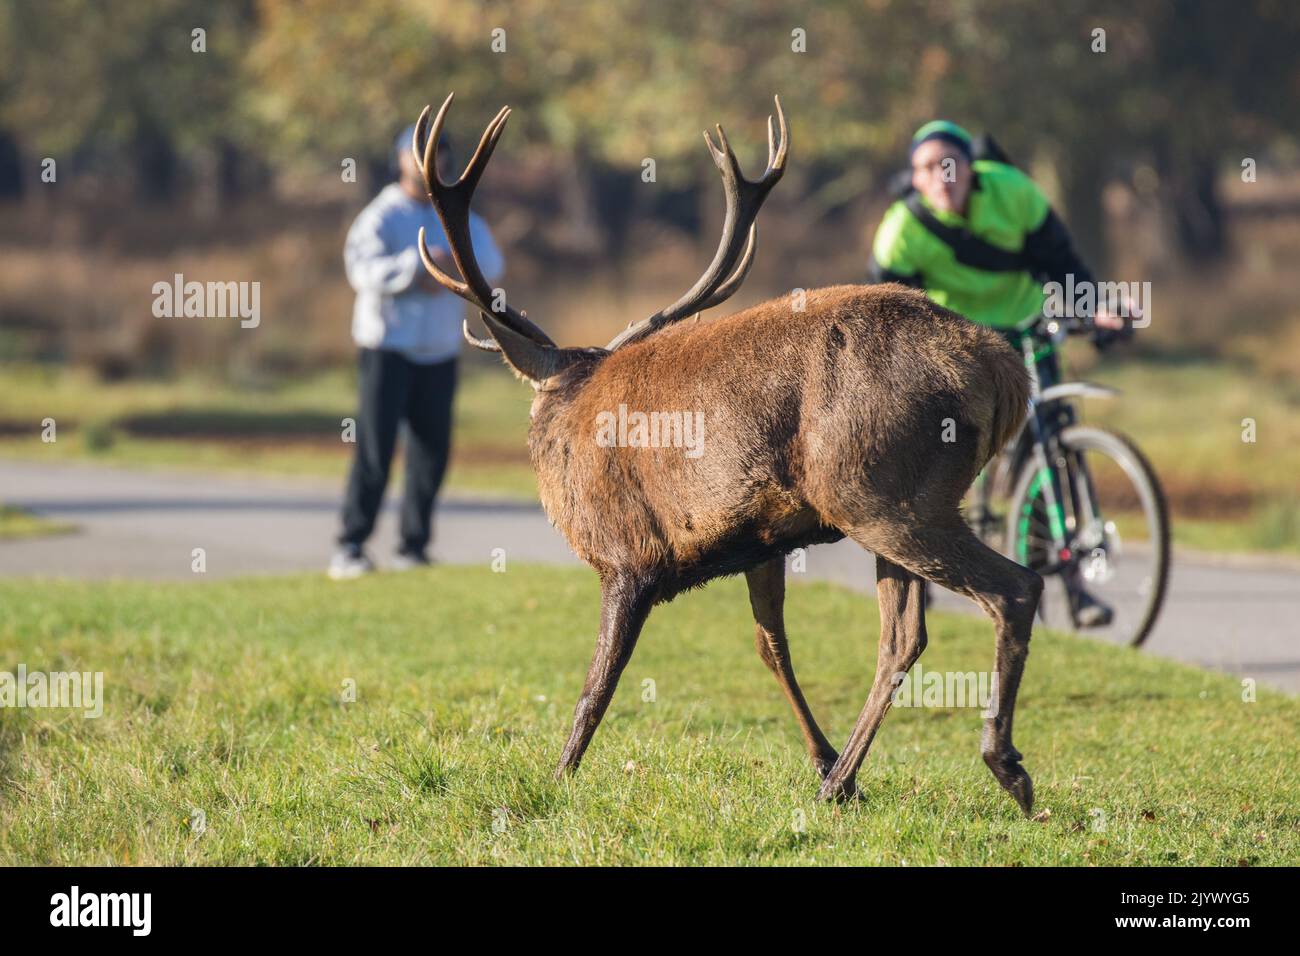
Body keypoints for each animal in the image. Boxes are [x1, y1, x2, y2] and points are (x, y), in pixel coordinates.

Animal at [410, 92, 1043, 814]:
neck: (566, 410)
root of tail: (1003, 372)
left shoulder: (626, 553)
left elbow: (597, 685)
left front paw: (556, 779)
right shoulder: (760, 540)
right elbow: (772, 647)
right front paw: (821, 755)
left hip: (886, 493)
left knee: (1015, 588)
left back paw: (1006, 767)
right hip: (883, 504)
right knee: (902, 637)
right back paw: (839, 780)